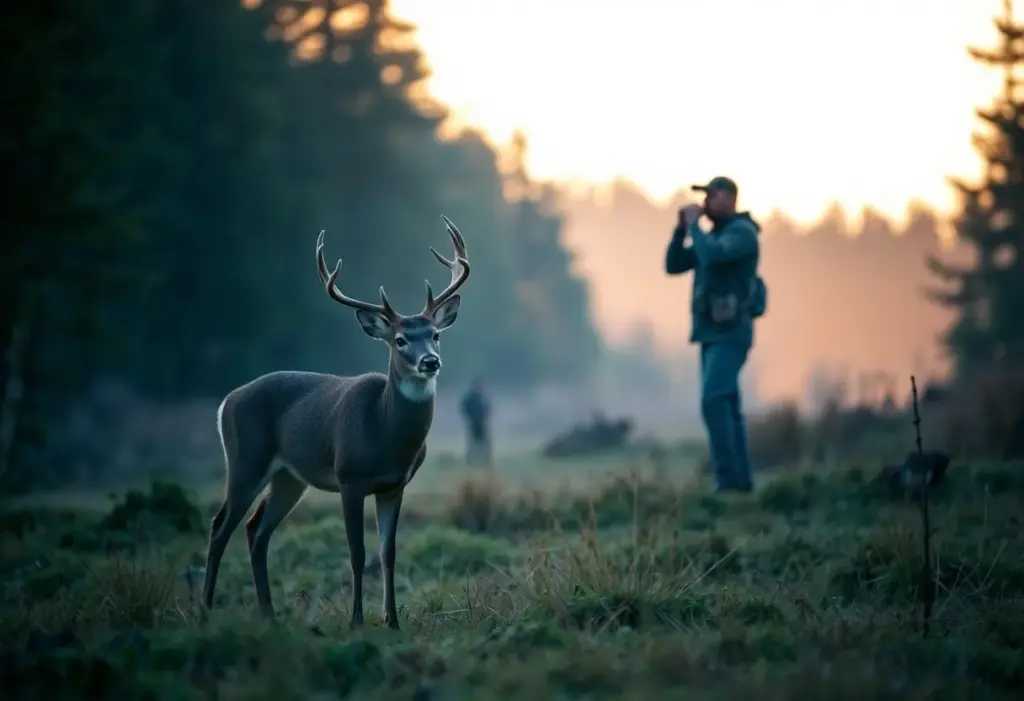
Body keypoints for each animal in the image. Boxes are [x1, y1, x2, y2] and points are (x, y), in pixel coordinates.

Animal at [201, 215, 470, 631]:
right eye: (400, 339)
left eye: (435, 334)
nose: (430, 361)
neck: (384, 430)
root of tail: (226, 402)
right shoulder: (350, 477)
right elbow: (357, 551)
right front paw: (357, 620)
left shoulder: (394, 485)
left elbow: (388, 552)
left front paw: (392, 621)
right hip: (246, 458)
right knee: (220, 526)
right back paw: (205, 612)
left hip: (289, 477)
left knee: (255, 530)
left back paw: (269, 614)